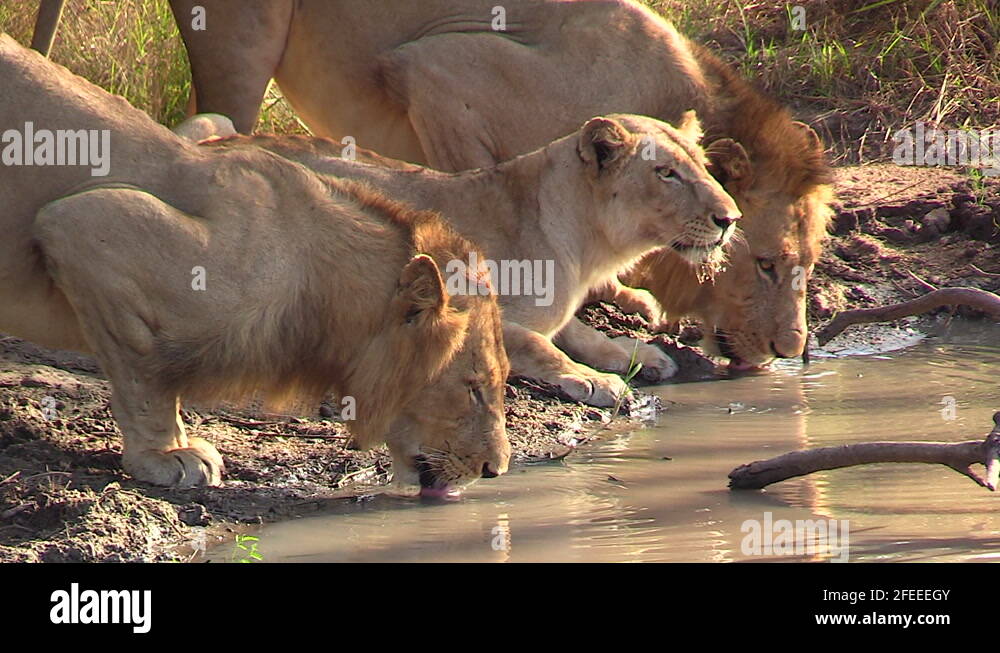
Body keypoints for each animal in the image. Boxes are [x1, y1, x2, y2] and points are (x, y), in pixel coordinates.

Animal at [166, 0, 834, 369]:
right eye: (767, 264)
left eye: (807, 265)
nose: (791, 351)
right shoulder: (436, 71)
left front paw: (622, 296)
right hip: (244, 41)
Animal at [179, 111, 743, 406]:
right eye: (666, 174)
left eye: (701, 165)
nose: (730, 217)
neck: (588, 246)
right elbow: (540, 345)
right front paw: (593, 379)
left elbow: (582, 332)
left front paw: (639, 354)